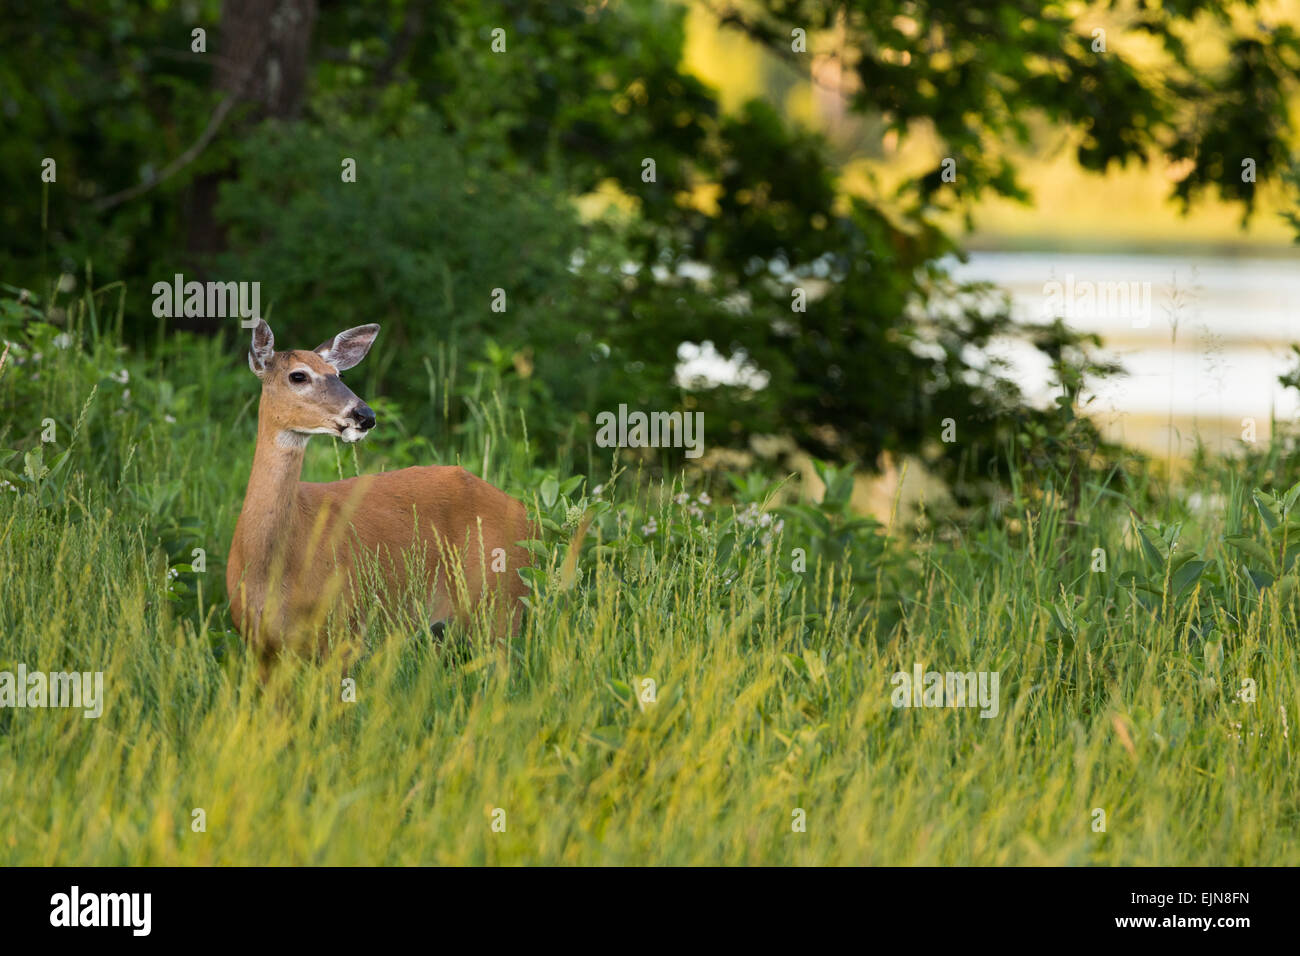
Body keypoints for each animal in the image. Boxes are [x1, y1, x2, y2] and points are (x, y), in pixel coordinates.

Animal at [226, 319, 533, 664]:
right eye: (298, 375)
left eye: (338, 374)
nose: (365, 415)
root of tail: (528, 517)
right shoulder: (257, 643)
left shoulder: (343, 629)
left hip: (501, 603)